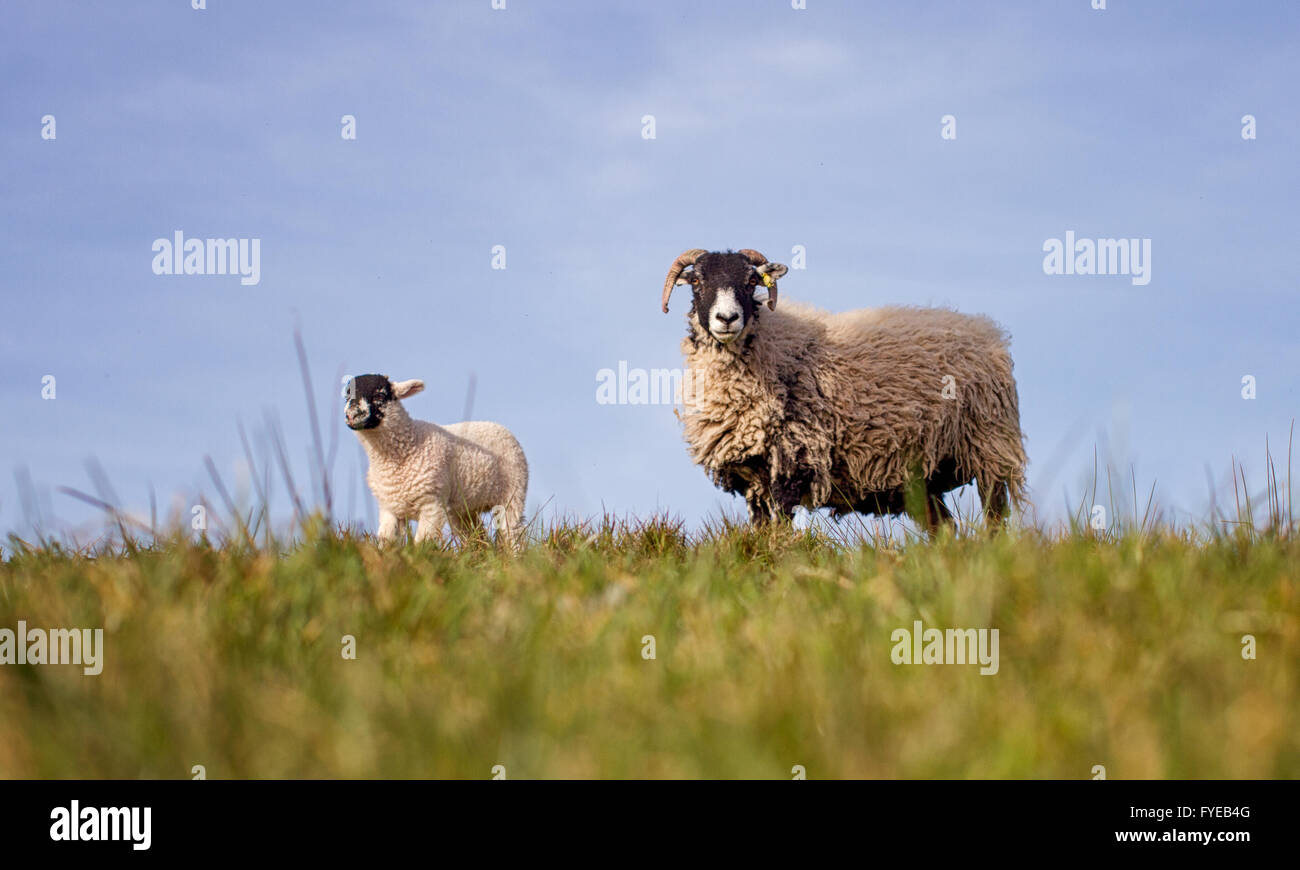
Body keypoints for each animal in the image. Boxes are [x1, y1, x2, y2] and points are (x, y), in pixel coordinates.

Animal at [344, 374, 528, 547]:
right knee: (476, 537)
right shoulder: (389, 508)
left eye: (380, 396)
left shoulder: (432, 504)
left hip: (513, 493)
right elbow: (386, 541)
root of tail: (497, 426)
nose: (351, 415)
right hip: (463, 509)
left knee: (513, 533)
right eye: (347, 395)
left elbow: (422, 543)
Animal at [660, 248, 1027, 532]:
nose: (727, 318)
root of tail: (988, 332)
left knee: (994, 522)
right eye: (697, 281)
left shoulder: (790, 466)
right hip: (923, 479)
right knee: (947, 531)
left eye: (751, 282)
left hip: (990, 449)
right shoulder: (753, 480)